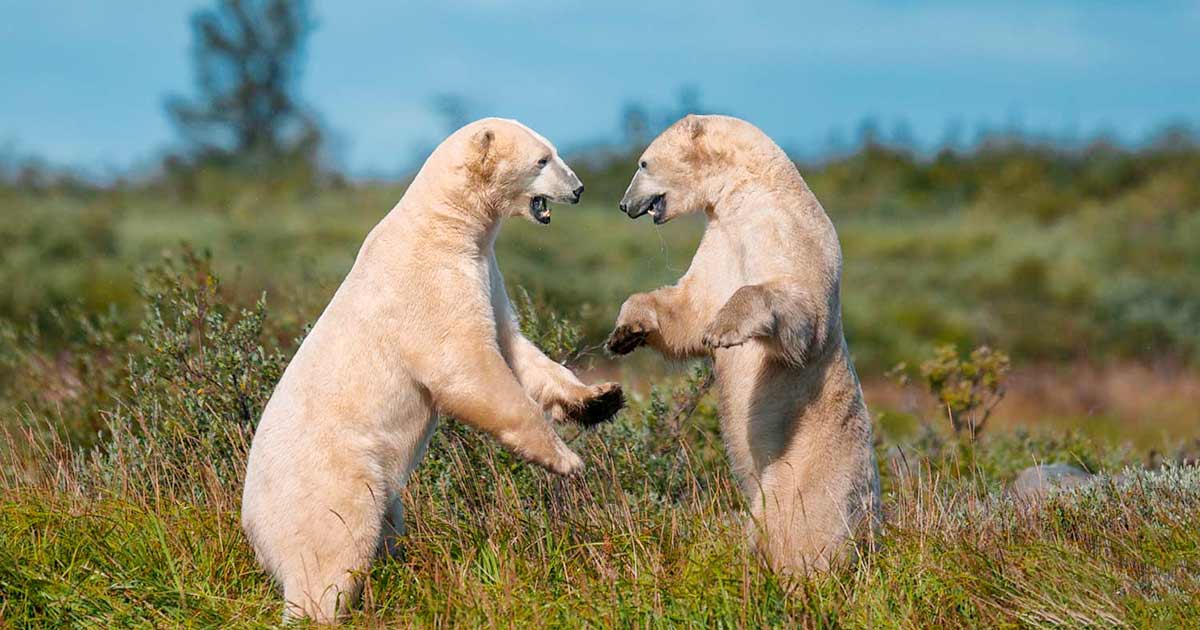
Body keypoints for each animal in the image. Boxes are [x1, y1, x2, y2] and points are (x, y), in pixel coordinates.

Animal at [241, 118, 624, 622]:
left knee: (385, 527)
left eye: (555, 151)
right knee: (330, 553)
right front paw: (566, 459)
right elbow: (468, 368)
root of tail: (252, 523)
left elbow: (516, 347)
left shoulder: (485, 272)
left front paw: (601, 398)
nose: (578, 188)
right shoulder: (430, 283)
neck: (444, 223)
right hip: (331, 478)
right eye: (543, 159)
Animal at [605, 114, 881, 574]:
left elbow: (796, 305)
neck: (751, 192)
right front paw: (625, 330)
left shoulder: (785, 231)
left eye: (643, 163)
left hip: (811, 466)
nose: (626, 205)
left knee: (798, 526)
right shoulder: (721, 239)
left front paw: (725, 329)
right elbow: (690, 306)